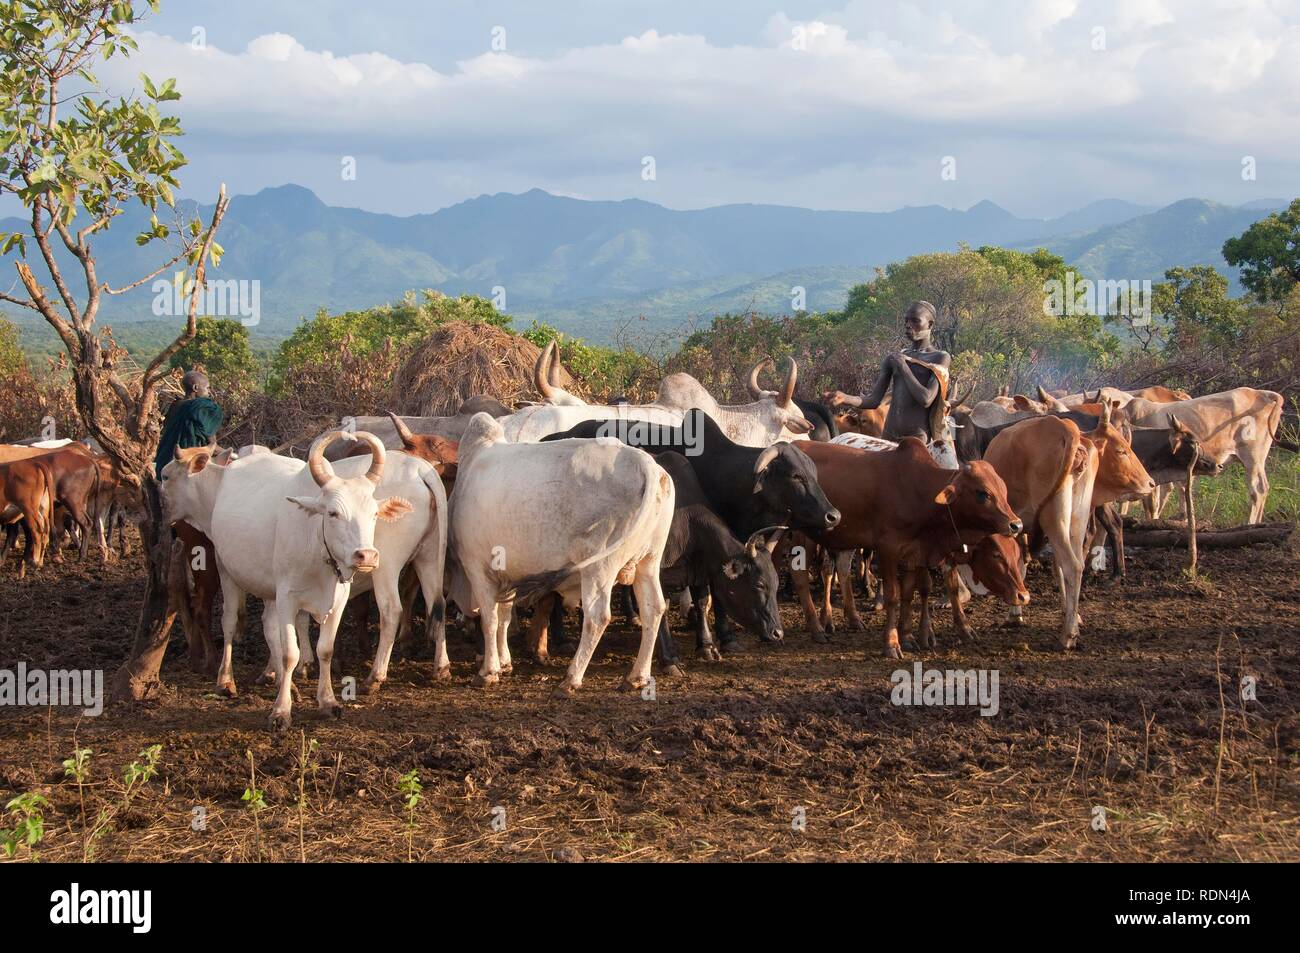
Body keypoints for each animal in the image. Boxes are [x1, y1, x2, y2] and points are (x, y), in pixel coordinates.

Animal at [160, 432, 427, 729]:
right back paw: (225, 680)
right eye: (332, 513)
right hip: (227, 570)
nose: (366, 555)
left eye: (374, 513)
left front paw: (326, 701)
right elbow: (289, 650)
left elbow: (324, 649)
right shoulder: (285, 596)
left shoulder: (337, 599)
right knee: (229, 623)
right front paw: (281, 709)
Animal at [449, 413, 676, 694]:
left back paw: (571, 679)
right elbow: (503, 617)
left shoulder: (477, 567)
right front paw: (504, 663)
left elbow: (489, 618)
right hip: (648, 560)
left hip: (599, 566)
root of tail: (646, 464)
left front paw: (488, 671)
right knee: (653, 608)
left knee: (597, 616)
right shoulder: (509, 574)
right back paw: (637, 676)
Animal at [791, 439, 1021, 657]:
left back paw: (851, 620)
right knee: (803, 575)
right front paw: (892, 643)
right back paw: (817, 627)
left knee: (839, 568)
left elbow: (909, 593)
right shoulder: (888, 549)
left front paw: (909, 637)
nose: (1015, 524)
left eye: (1003, 488)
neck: (919, 491)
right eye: (982, 494)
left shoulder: (914, 552)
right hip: (802, 536)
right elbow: (893, 596)